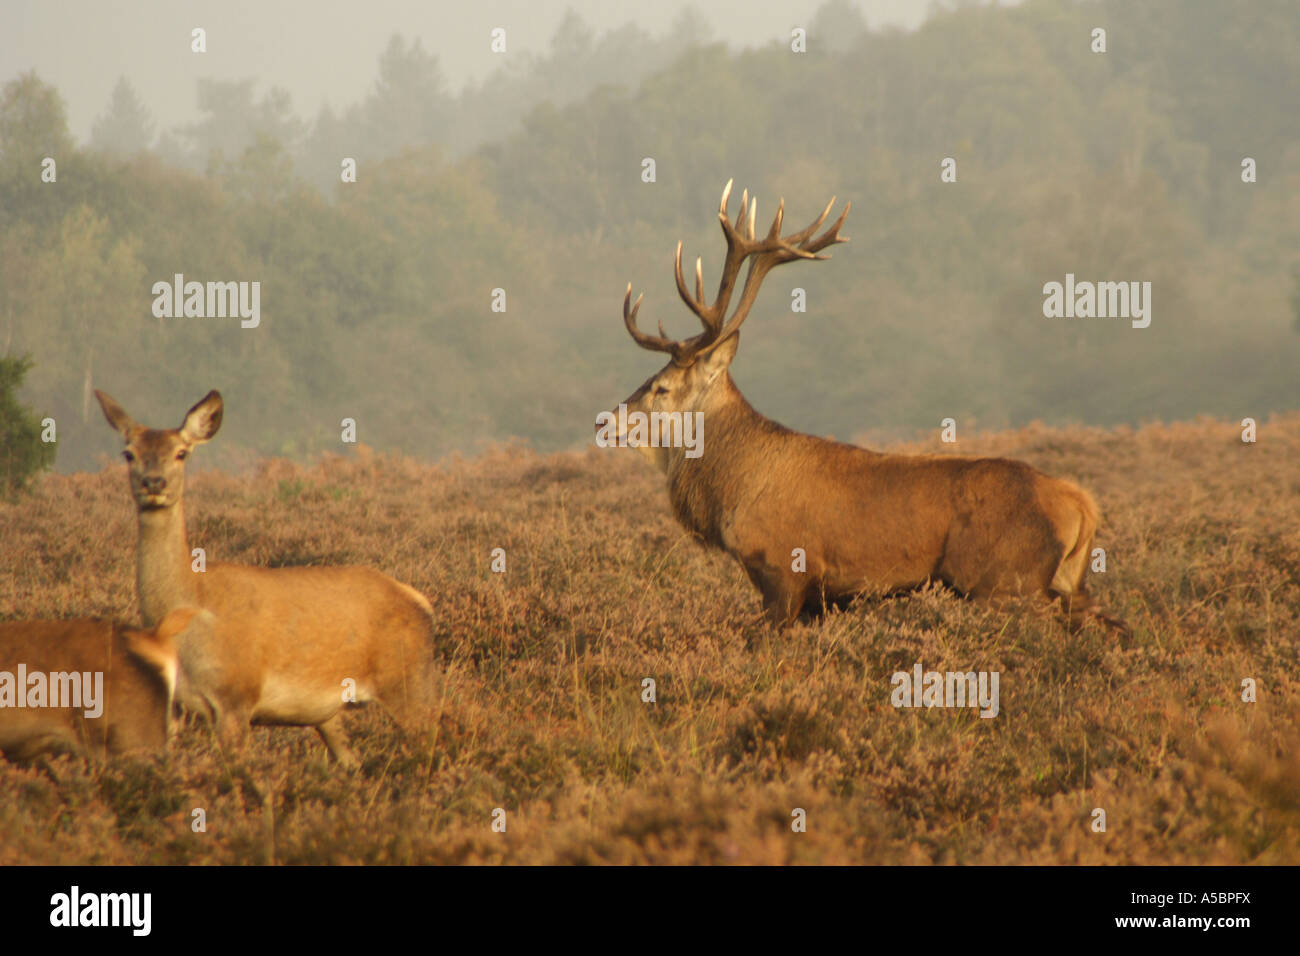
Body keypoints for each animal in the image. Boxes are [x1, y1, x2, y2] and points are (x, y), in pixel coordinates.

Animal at [94, 389, 438, 767]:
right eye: (129, 453)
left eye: (181, 452)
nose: (153, 483)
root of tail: (419, 601)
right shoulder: (177, 708)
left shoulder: (236, 695)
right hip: (331, 714)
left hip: (408, 680)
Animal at [603, 180, 1122, 631]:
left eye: (661, 387)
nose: (607, 421)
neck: (735, 492)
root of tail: (1081, 505)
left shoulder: (786, 569)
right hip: (1065, 585)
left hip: (1003, 582)